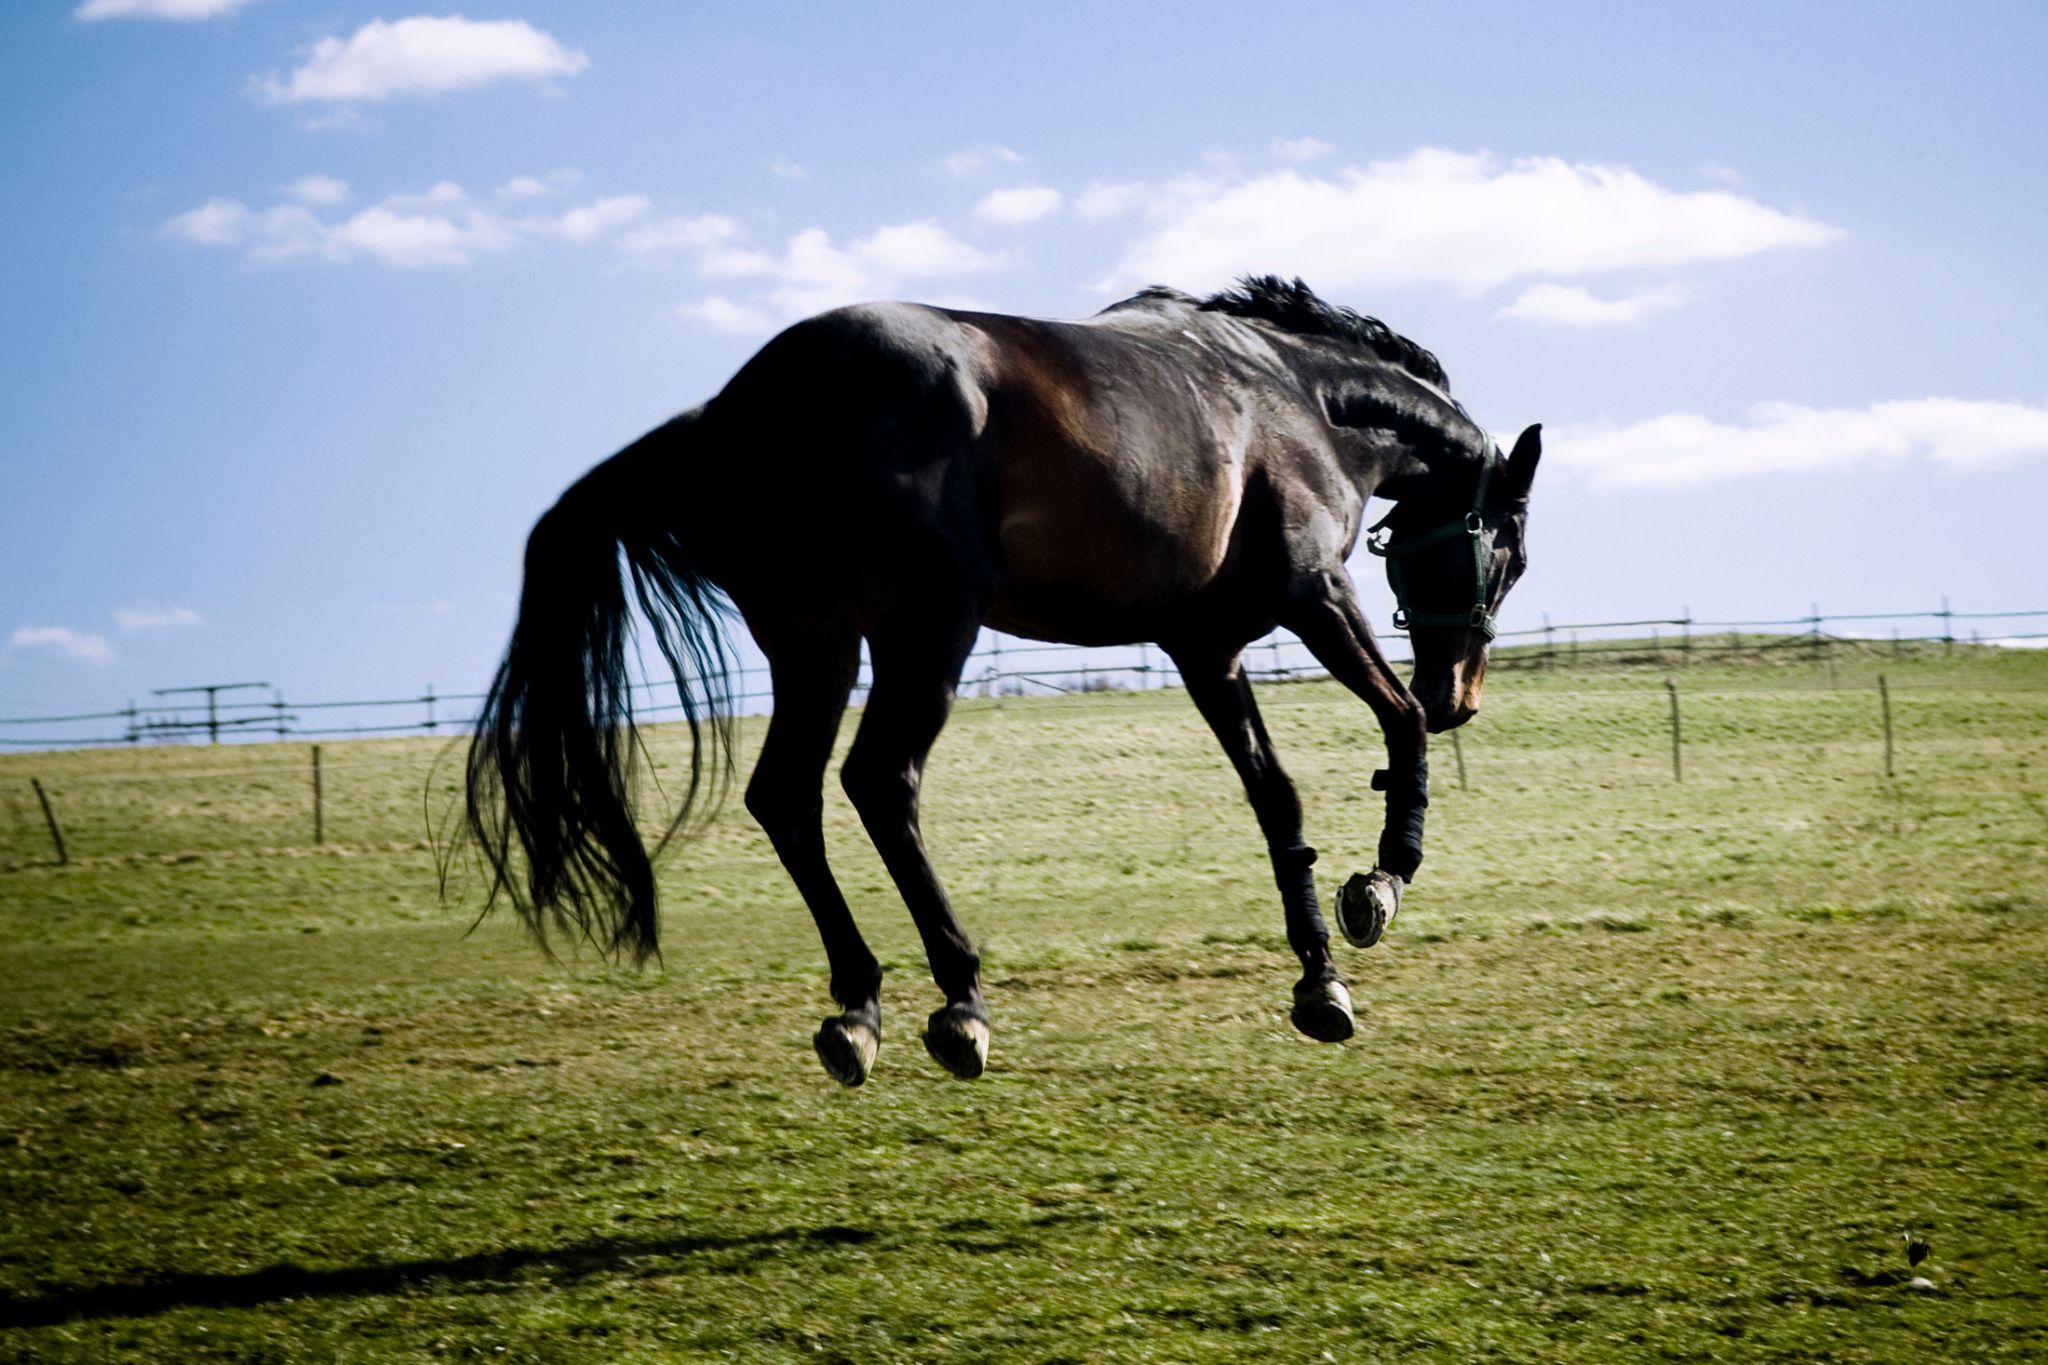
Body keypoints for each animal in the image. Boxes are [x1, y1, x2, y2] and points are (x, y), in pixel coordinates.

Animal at [464, 275, 1540, 1086]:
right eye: (1511, 552)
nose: (1462, 695)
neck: (1292, 395)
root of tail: (736, 409)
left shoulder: (1207, 649)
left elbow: (1276, 800)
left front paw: (1319, 980)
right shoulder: (1313, 594)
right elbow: (1393, 724)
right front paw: (1380, 885)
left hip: (817, 646)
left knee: (788, 797)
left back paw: (858, 1007)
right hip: (923, 633)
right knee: (878, 782)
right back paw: (958, 997)